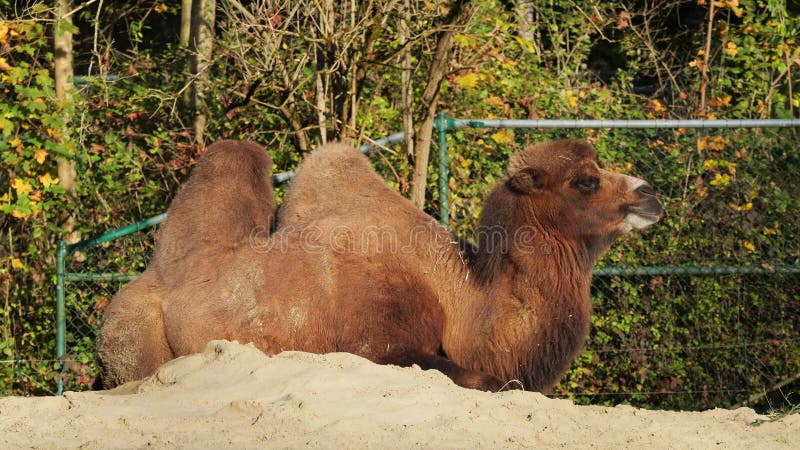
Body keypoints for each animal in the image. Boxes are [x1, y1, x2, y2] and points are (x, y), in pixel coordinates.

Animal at [97, 139, 663, 392]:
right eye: (586, 181)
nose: (649, 193)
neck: (466, 303)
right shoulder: (382, 344)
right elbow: (490, 382)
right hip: (131, 342)